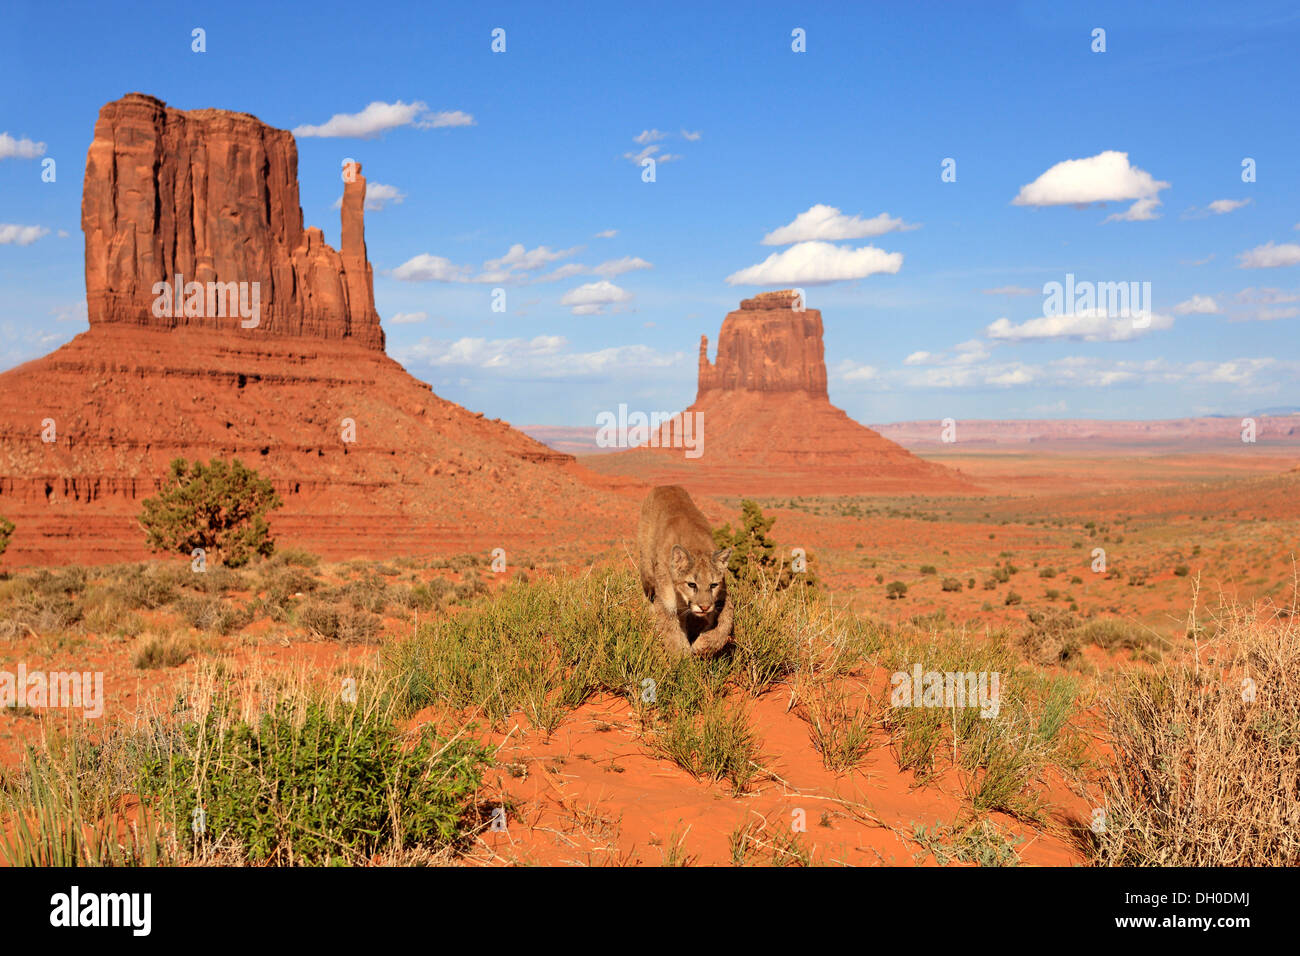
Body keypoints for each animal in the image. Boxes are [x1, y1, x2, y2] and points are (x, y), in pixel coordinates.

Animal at [636, 485, 734, 657]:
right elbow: (673, 632)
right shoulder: (666, 603)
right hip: (647, 570)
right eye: (692, 584)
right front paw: (682, 658)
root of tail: (665, 486)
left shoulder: (722, 599)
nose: (704, 607)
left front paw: (702, 645)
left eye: (713, 585)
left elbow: (724, 624)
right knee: (648, 594)